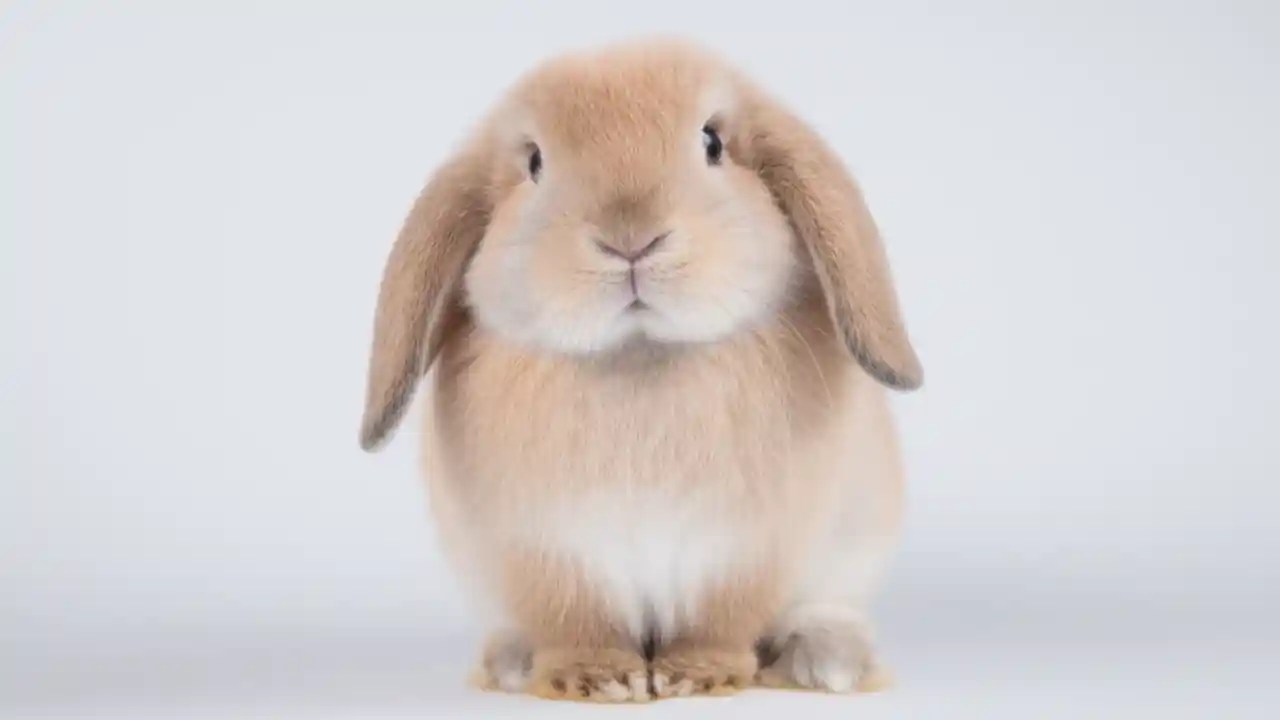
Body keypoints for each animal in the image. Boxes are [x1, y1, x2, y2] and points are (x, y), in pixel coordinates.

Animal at [358, 39, 922, 702]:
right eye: (535, 162)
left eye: (712, 142)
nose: (631, 238)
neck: (639, 354)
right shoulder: (551, 558)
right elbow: (577, 624)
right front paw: (594, 679)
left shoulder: (743, 554)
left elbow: (717, 625)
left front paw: (695, 679)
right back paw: (512, 660)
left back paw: (827, 660)